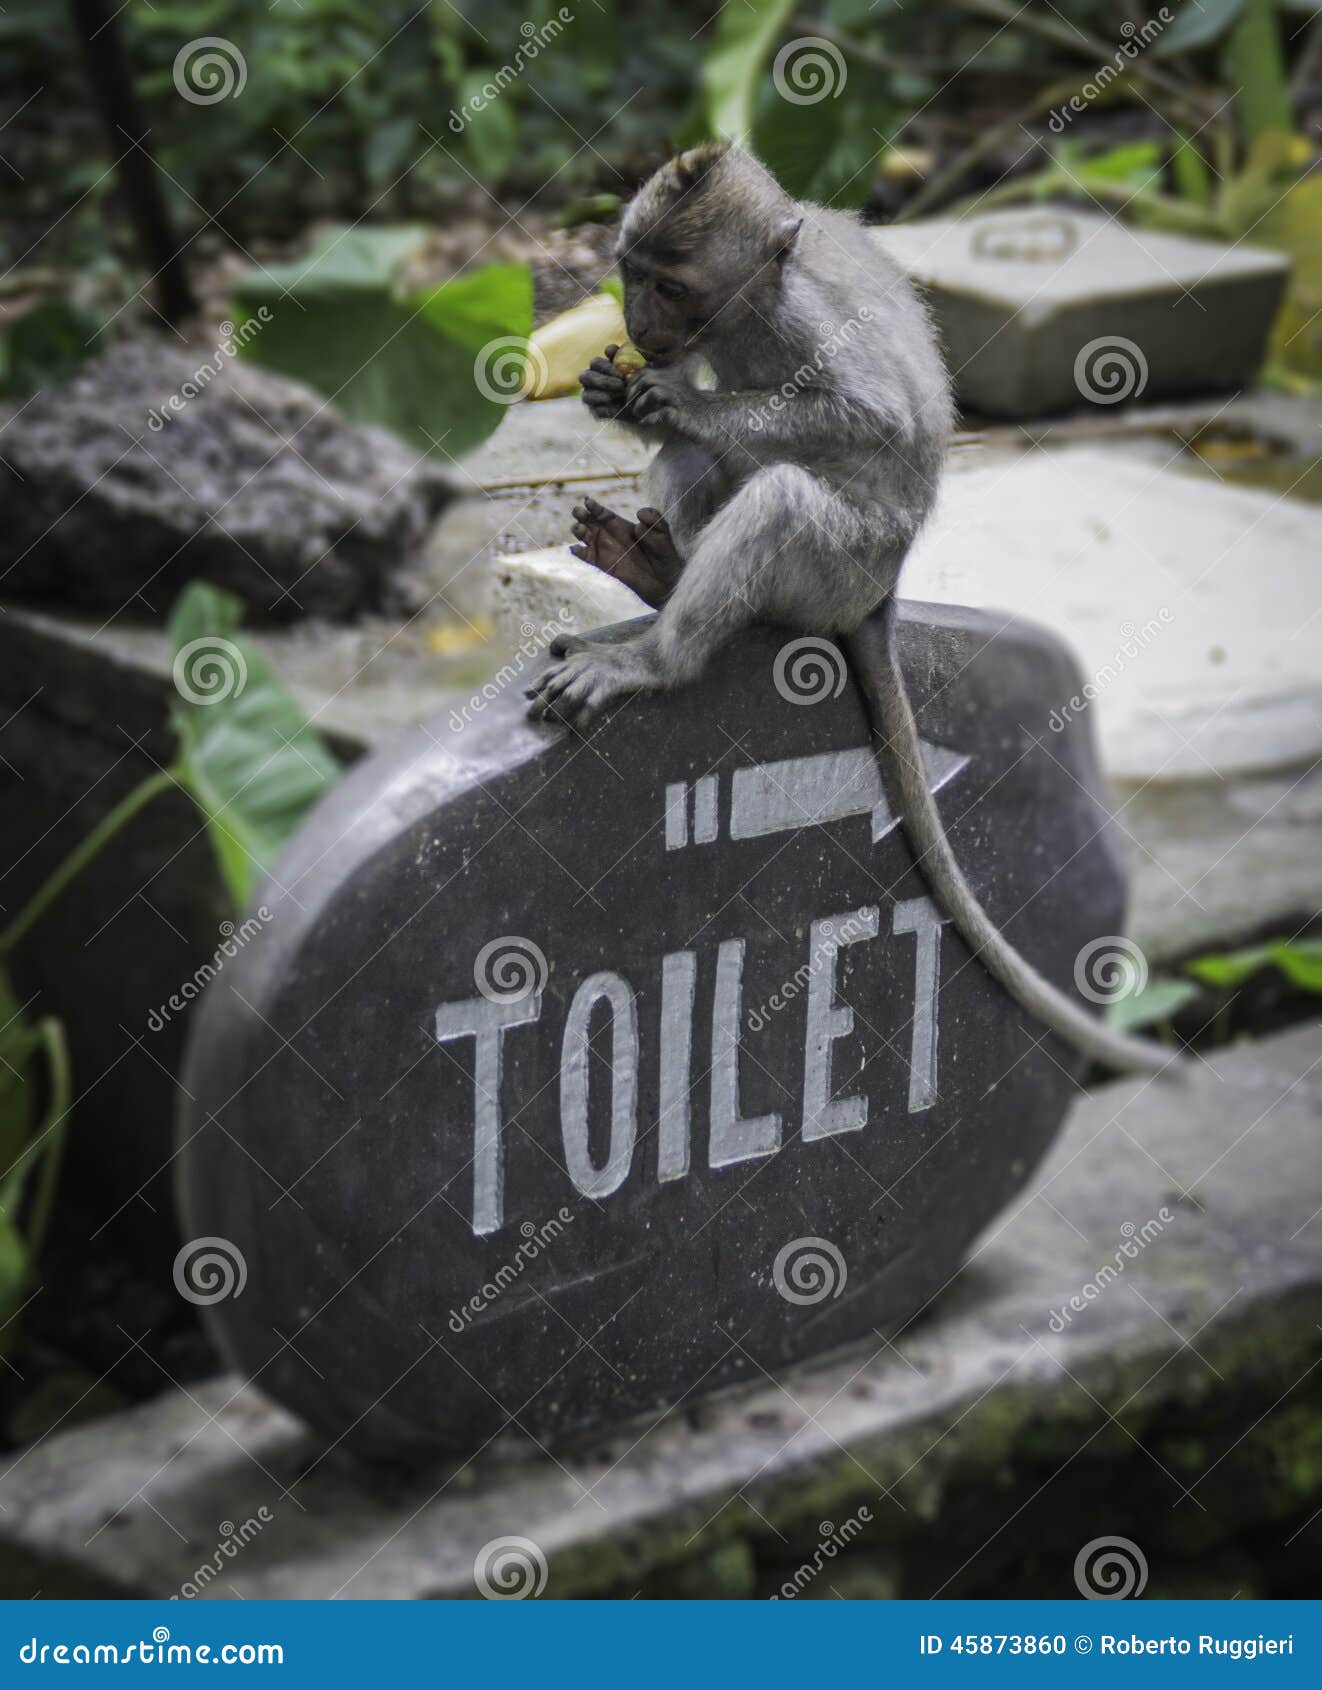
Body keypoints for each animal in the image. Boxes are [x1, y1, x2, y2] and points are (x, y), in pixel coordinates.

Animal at [525, 143, 1181, 1078]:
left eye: (672, 285)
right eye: (630, 271)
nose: (637, 320)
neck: (754, 304)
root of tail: (883, 594)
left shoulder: (806, 320)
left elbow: (874, 417)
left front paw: (681, 400)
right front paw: (614, 391)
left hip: (837, 570)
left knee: (779, 497)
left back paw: (660, 655)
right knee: (708, 466)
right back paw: (658, 573)